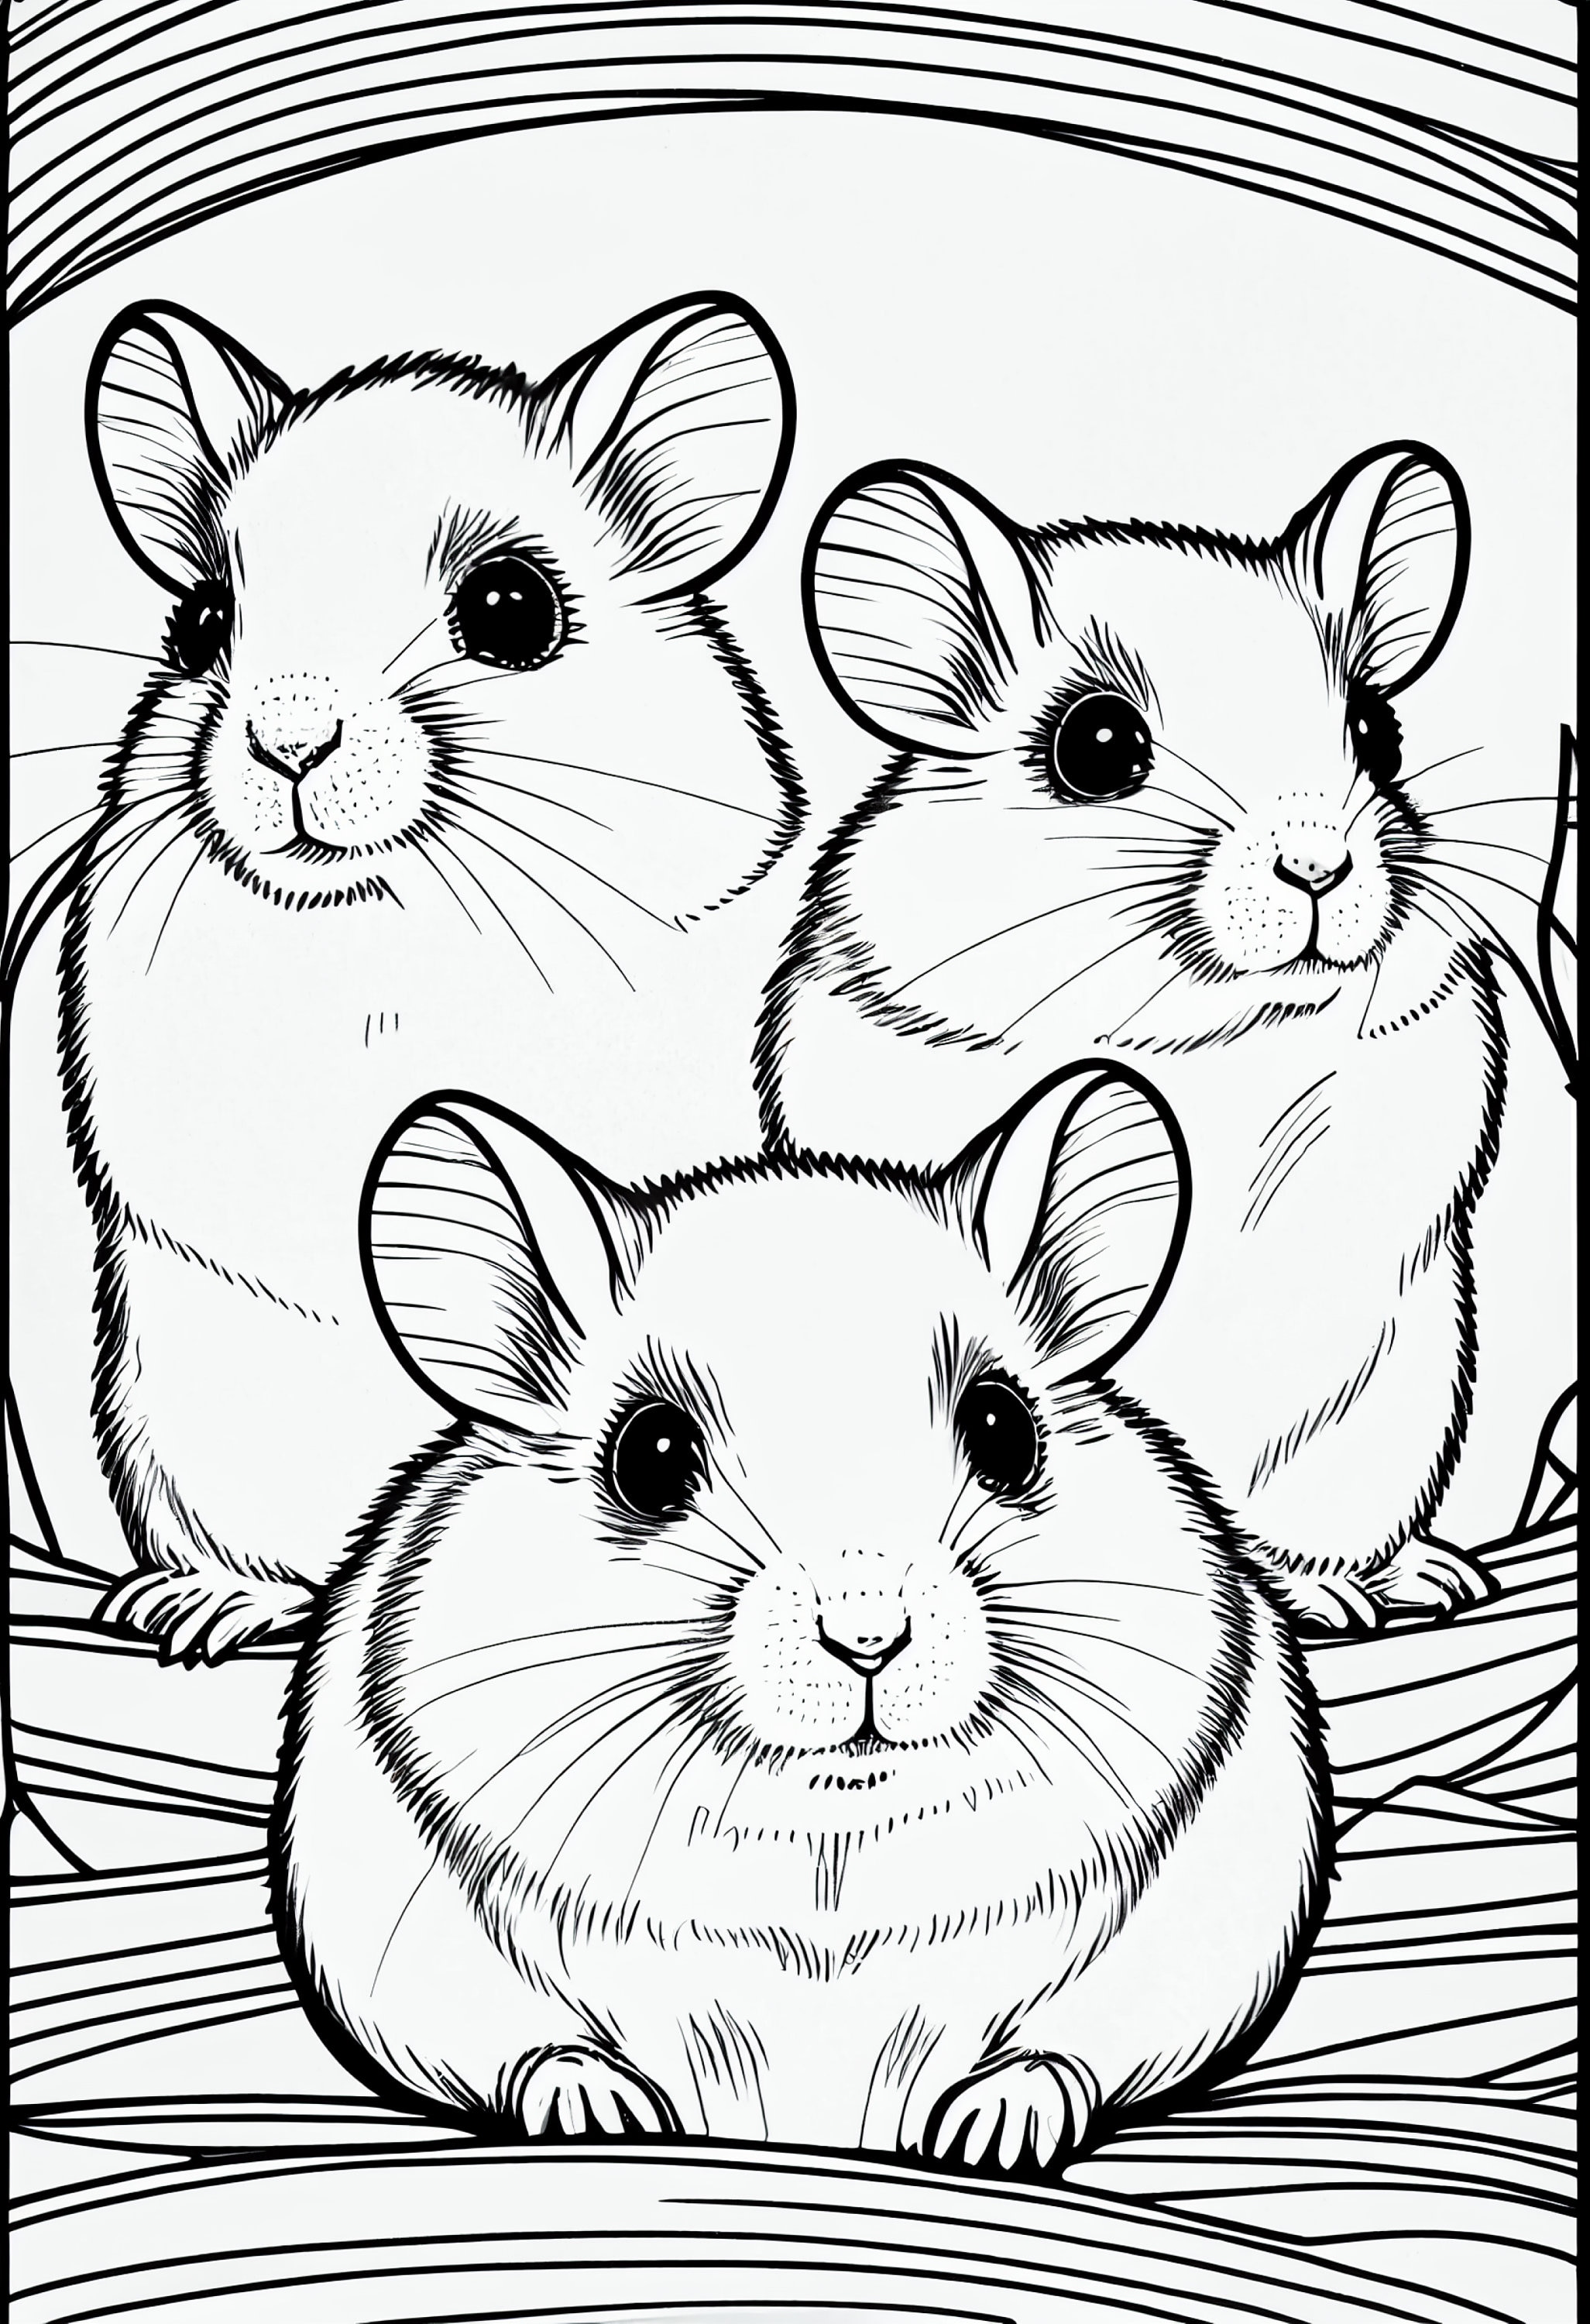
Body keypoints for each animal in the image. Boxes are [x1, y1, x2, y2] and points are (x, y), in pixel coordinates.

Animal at [274, 1067, 1328, 2168]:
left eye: (1003, 1428)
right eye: (649, 1455)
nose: (868, 1638)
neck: (830, 1842)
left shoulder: (1208, 1909)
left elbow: (1072, 2041)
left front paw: (986, 2137)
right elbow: (525, 2040)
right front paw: (600, 2110)